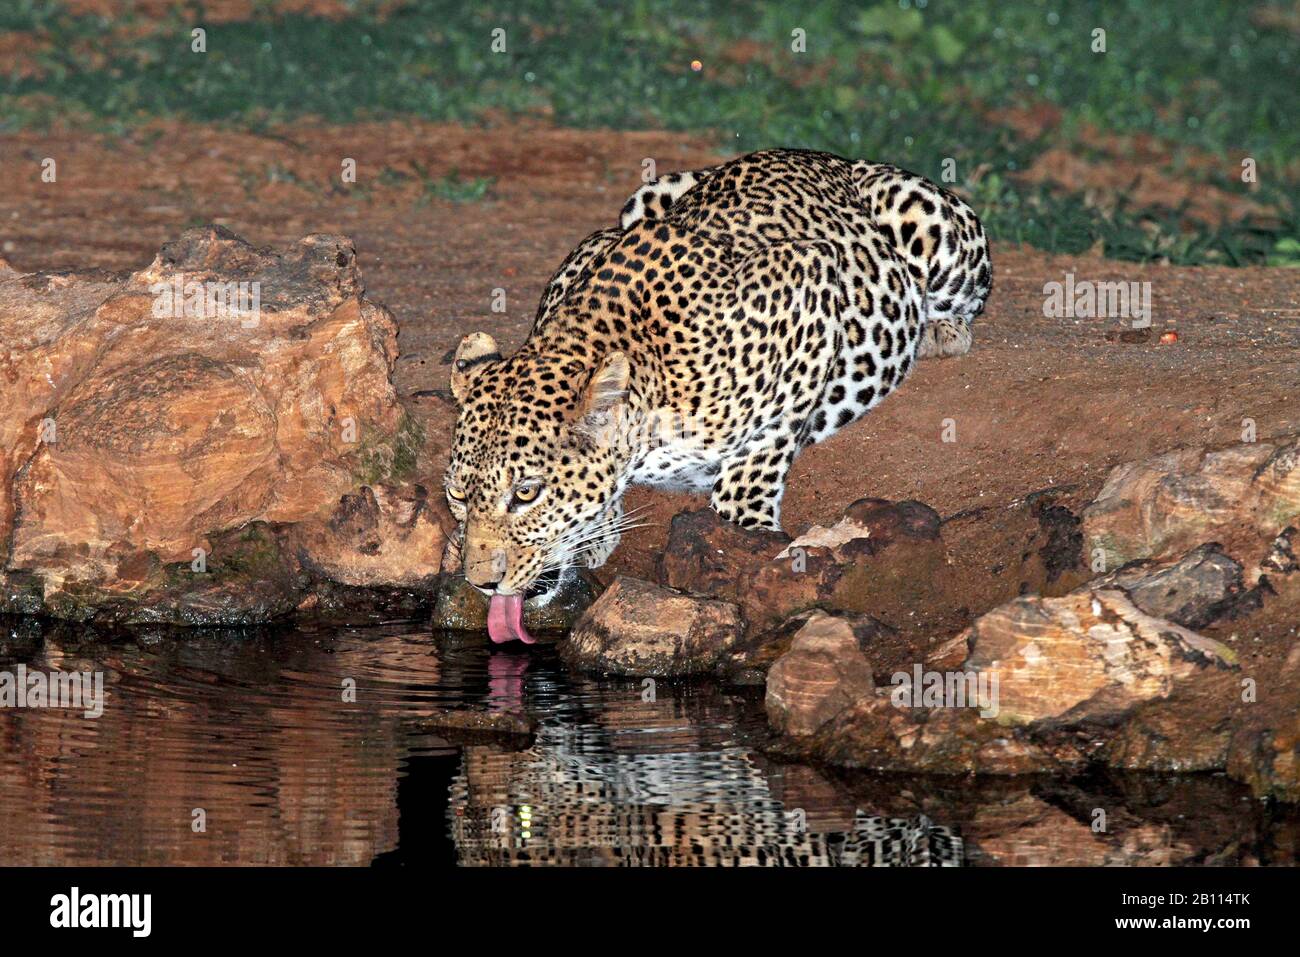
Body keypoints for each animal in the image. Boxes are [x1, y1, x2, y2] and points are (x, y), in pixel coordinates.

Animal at [443, 148, 991, 642]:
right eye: (457, 495)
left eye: (526, 494)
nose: (483, 583)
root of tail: (832, 158)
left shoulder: (809, 277)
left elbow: (761, 449)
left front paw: (744, 526)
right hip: (645, 195)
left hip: (932, 225)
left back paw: (939, 331)